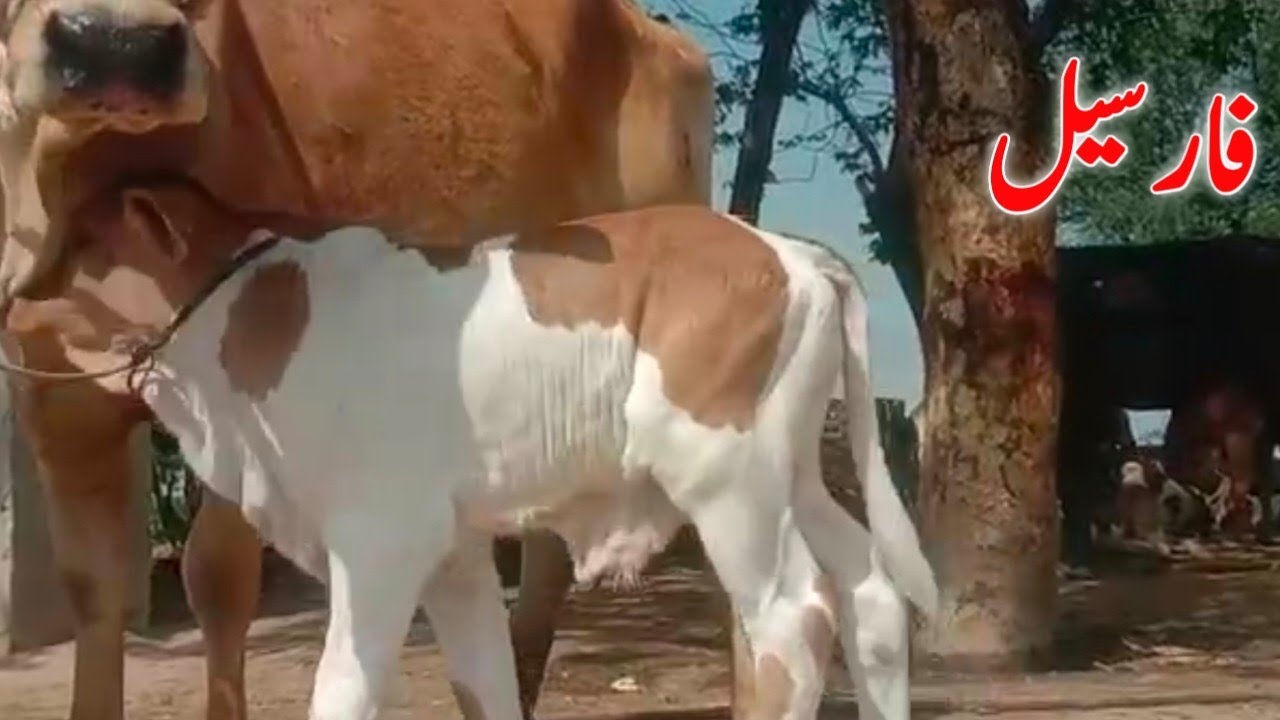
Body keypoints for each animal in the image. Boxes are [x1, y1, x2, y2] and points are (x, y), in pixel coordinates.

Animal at [43, 181, 938, 720]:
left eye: (83, 242)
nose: (21, 294)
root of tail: (787, 250)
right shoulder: (456, 555)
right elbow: (484, 680)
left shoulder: (379, 543)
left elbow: (344, 686)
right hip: (796, 476)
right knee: (870, 594)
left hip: (729, 480)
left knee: (792, 620)